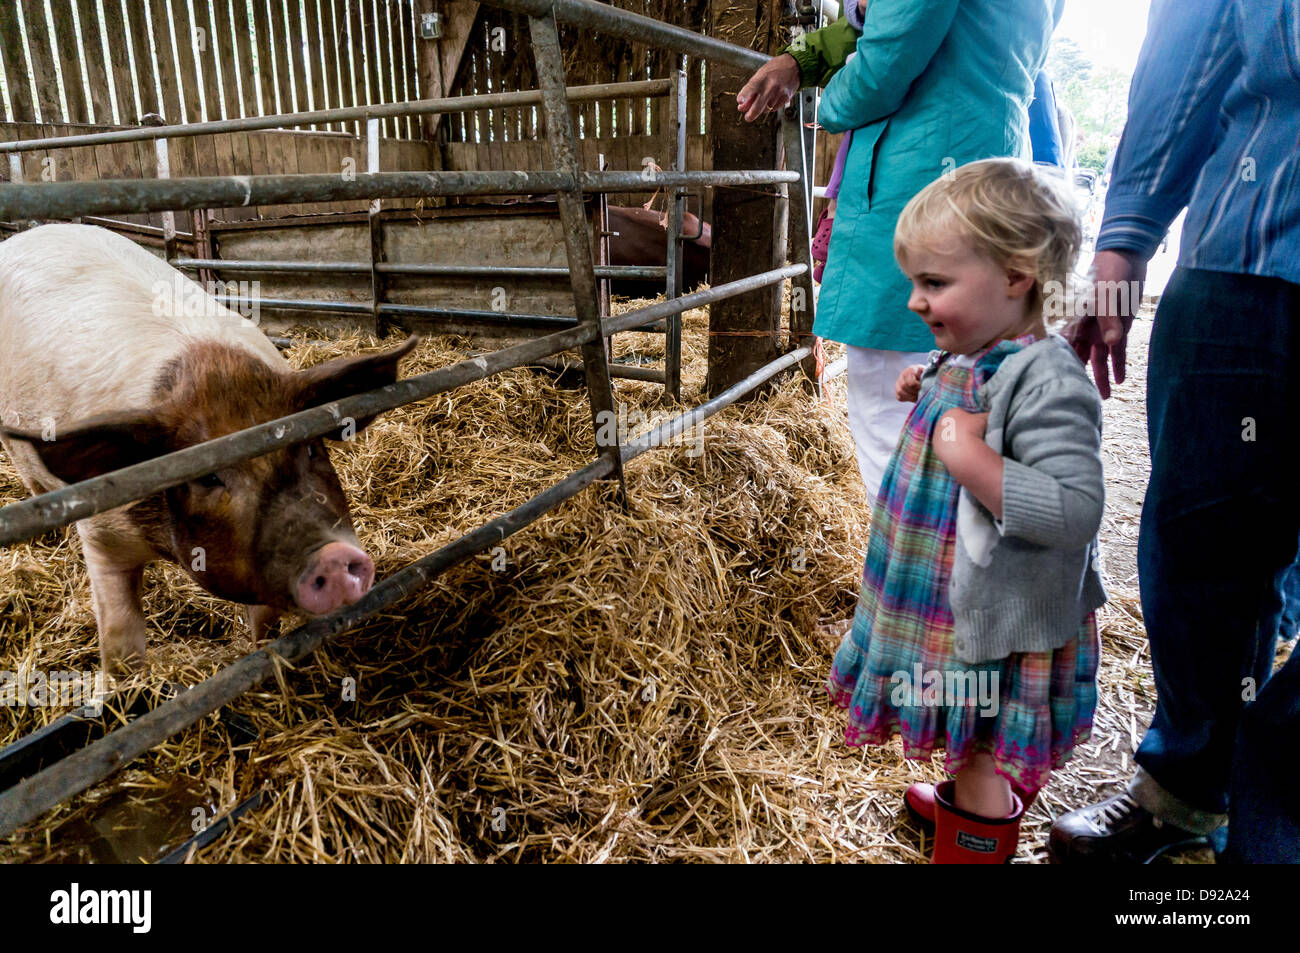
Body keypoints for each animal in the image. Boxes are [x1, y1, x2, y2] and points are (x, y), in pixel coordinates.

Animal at [0, 223, 418, 674]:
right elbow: (120, 639)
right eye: (208, 477)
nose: (333, 556)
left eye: (309, 447)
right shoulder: (102, 539)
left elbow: (265, 622)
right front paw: (124, 683)